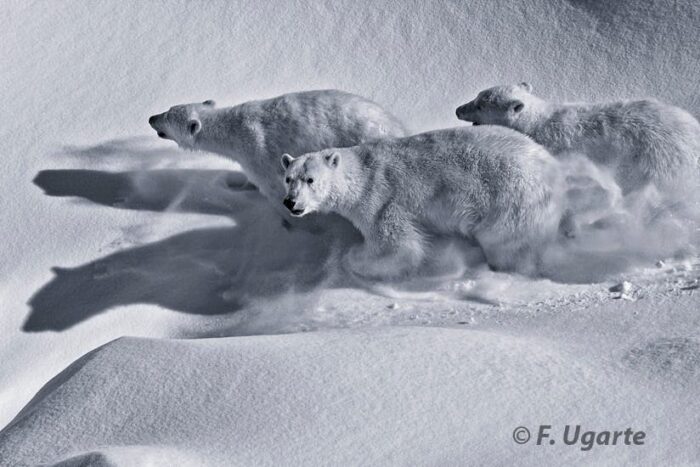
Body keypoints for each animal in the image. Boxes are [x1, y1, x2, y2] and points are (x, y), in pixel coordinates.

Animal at [148, 90, 407, 219]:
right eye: (168, 109)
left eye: (167, 118)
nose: (151, 117)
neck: (234, 128)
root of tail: (398, 127)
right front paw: (239, 186)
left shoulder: (257, 152)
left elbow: (272, 188)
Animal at [280, 126, 564, 278]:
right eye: (288, 178)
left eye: (310, 179)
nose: (290, 202)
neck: (361, 174)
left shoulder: (381, 200)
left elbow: (398, 246)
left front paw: (352, 257)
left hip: (512, 200)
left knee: (505, 243)